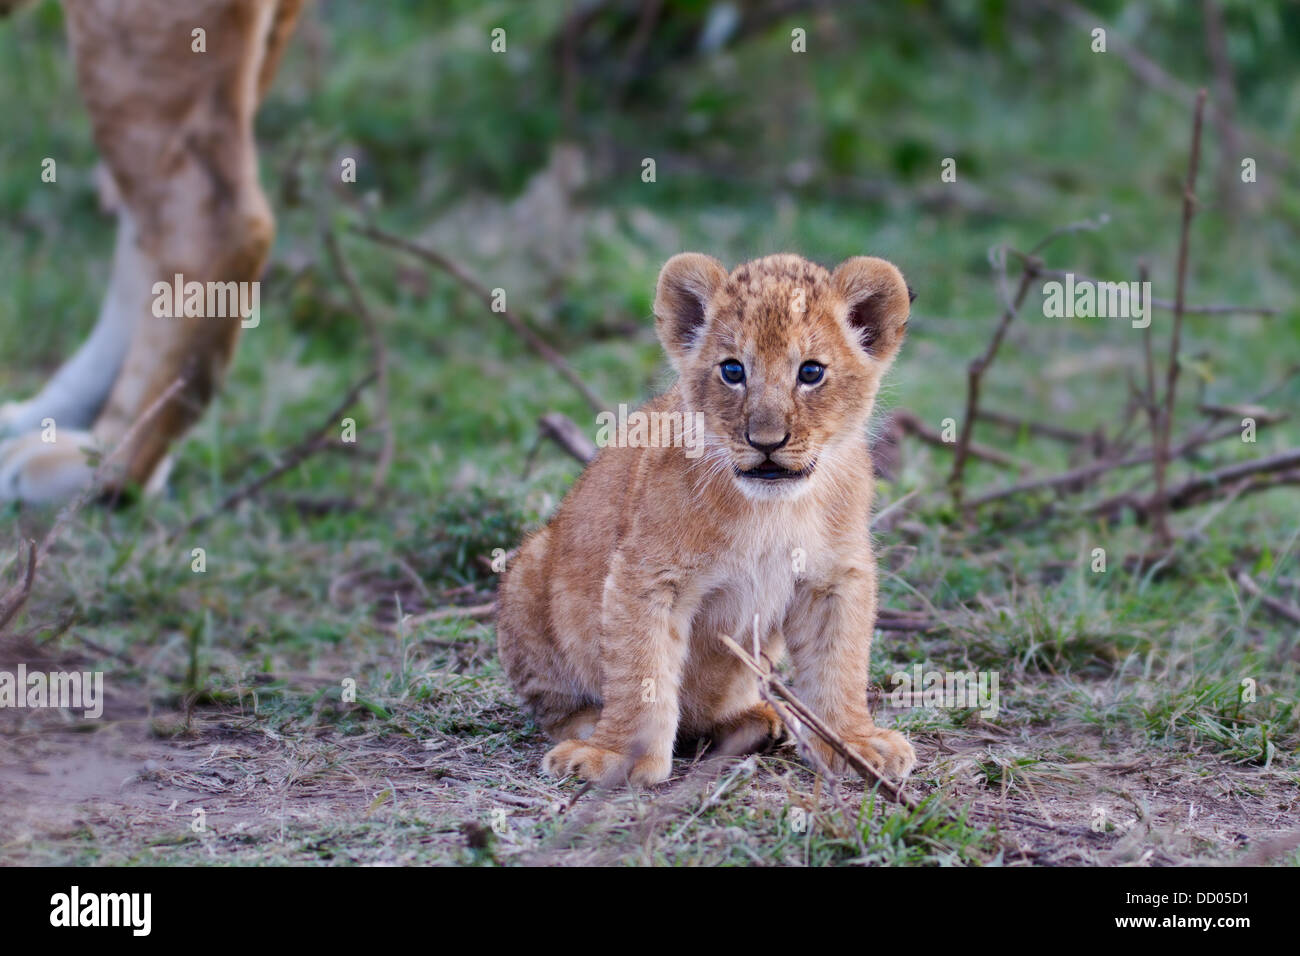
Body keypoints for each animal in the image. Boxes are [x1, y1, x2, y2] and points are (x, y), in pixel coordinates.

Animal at [497, 252, 916, 787]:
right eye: (733, 370)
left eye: (811, 371)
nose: (766, 441)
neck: (771, 509)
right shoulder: (648, 573)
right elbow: (640, 669)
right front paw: (620, 755)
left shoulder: (834, 577)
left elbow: (838, 666)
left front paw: (855, 744)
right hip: (529, 566)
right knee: (557, 707)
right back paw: (590, 729)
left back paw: (761, 720)